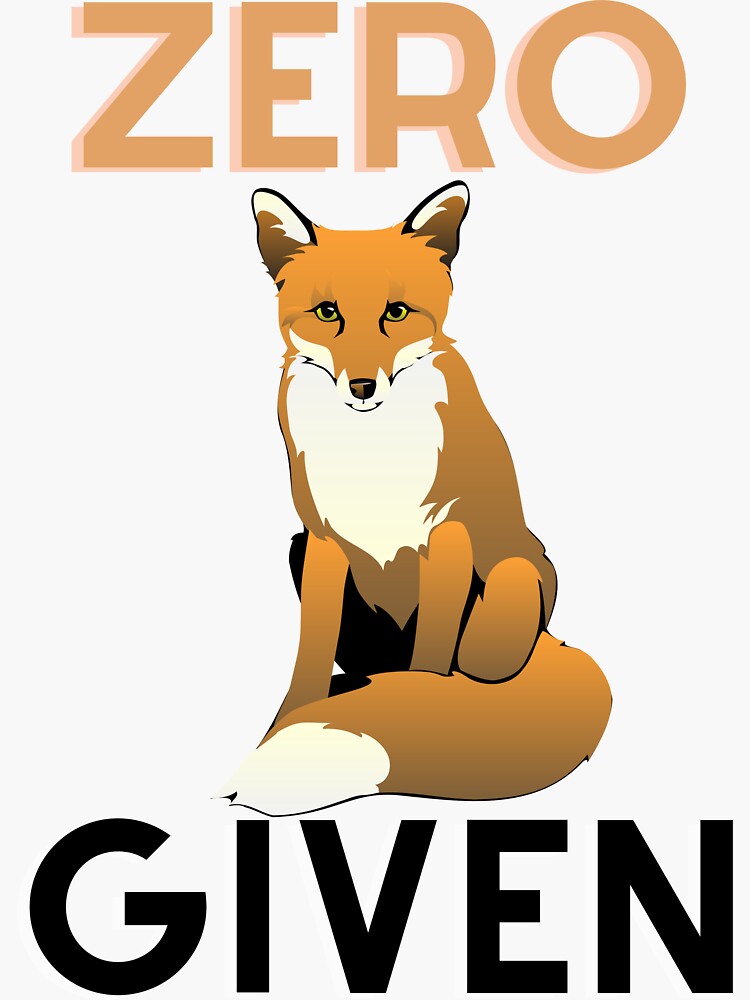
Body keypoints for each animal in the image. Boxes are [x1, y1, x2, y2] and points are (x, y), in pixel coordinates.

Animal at [216, 182, 611, 816]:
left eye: (396, 313)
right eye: (327, 313)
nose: (361, 387)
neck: (373, 457)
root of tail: (557, 643)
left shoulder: (446, 537)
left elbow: (428, 668)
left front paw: (422, 710)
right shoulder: (321, 540)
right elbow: (307, 664)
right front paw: (284, 727)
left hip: (512, 589)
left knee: (463, 662)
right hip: (297, 552)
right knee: (367, 674)